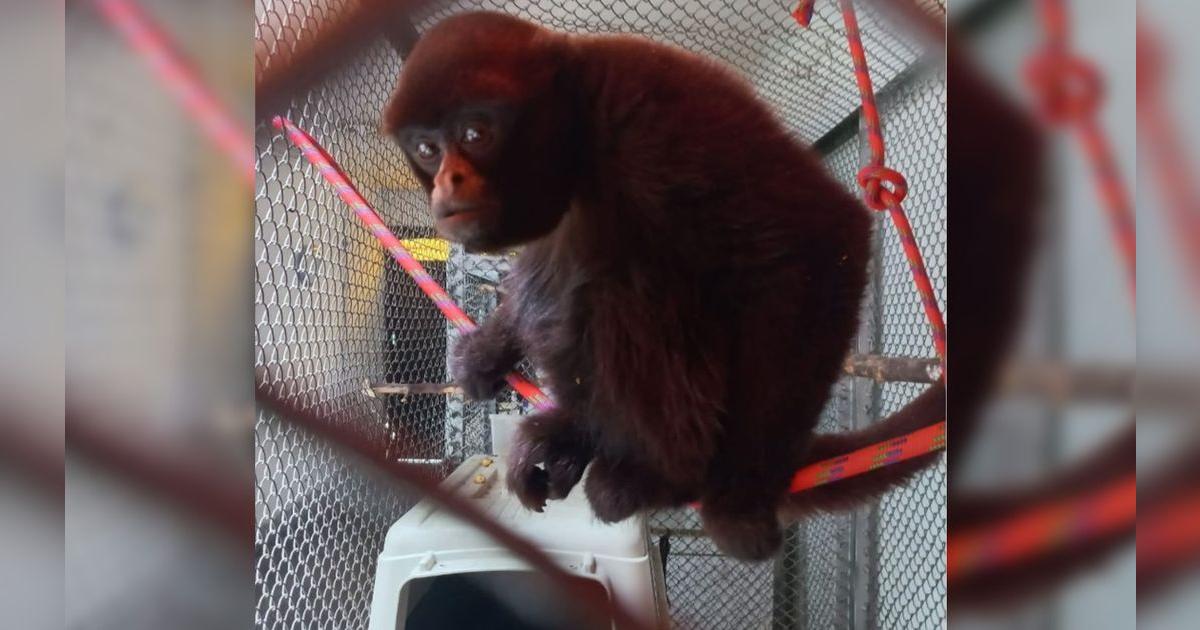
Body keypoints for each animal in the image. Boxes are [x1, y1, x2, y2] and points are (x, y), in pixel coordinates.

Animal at [384, 11, 943, 561]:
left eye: (476, 134)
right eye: (428, 149)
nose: (448, 181)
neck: (582, 127)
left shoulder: (657, 112)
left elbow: (823, 238)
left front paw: (740, 497)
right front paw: (486, 354)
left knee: (613, 283)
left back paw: (663, 476)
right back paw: (576, 436)